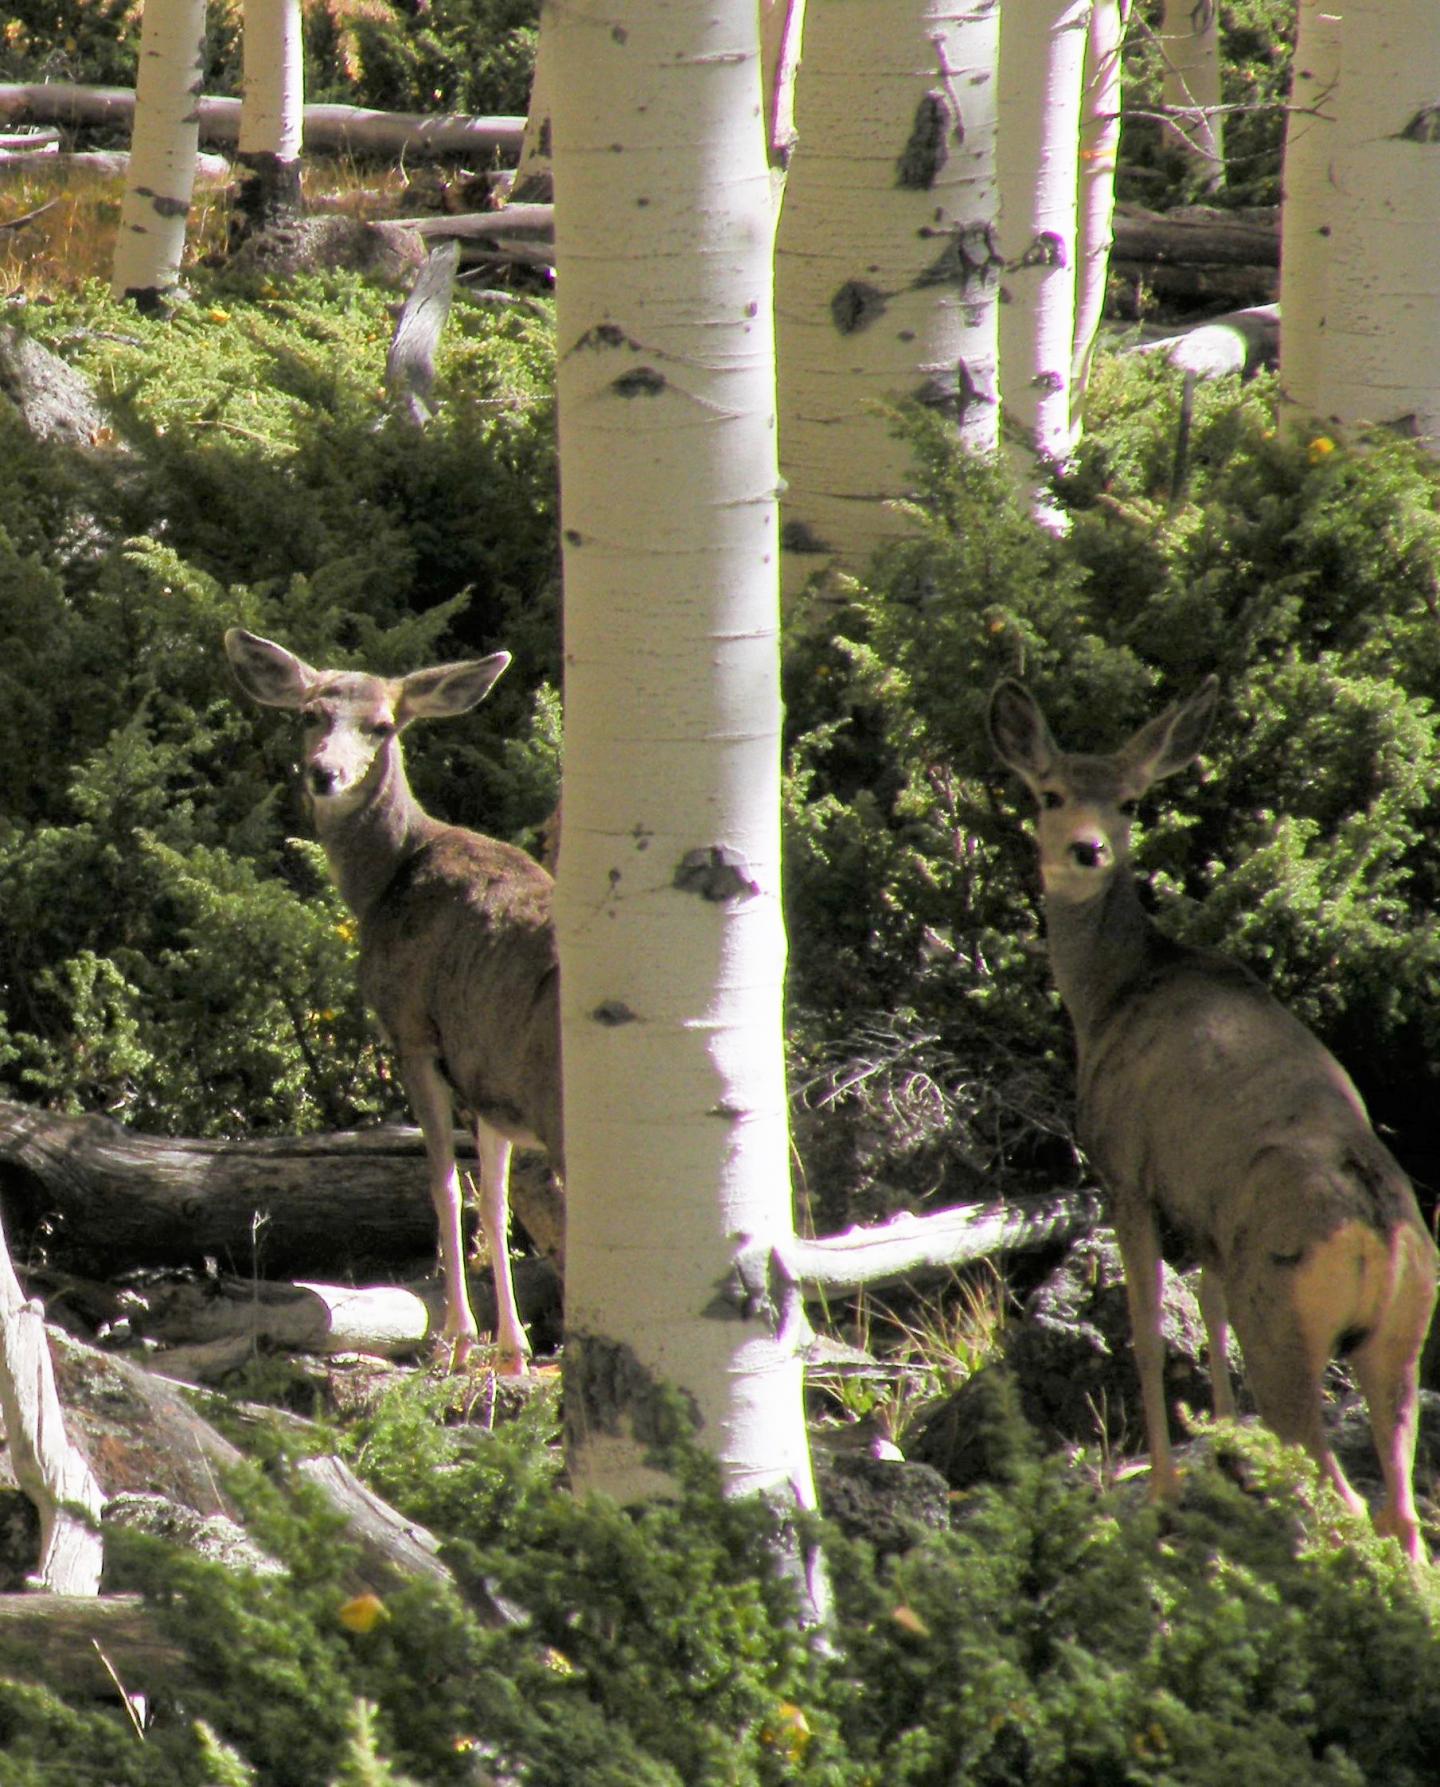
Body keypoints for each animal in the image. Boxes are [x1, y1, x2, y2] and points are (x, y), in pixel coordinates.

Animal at [224, 628, 561, 1375]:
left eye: (382, 725)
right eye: (309, 714)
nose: (324, 773)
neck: (387, 880)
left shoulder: (412, 1030)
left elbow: (444, 1184)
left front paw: (459, 1338)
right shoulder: (484, 1073)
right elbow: (495, 1197)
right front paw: (512, 1348)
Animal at [988, 675, 1438, 1561]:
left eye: (1128, 801)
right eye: (1051, 793)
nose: (1086, 850)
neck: (1115, 993)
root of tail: (1379, 1229)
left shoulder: (1125, 1168)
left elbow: (1147, 1331)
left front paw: (1163, 1489)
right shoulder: (1207, 1216)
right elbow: (1207, 1308)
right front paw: (1229, 1454)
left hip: (1288, 1324)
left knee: (1344, 1495)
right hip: (1402, 1334)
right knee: (1401, 1512)